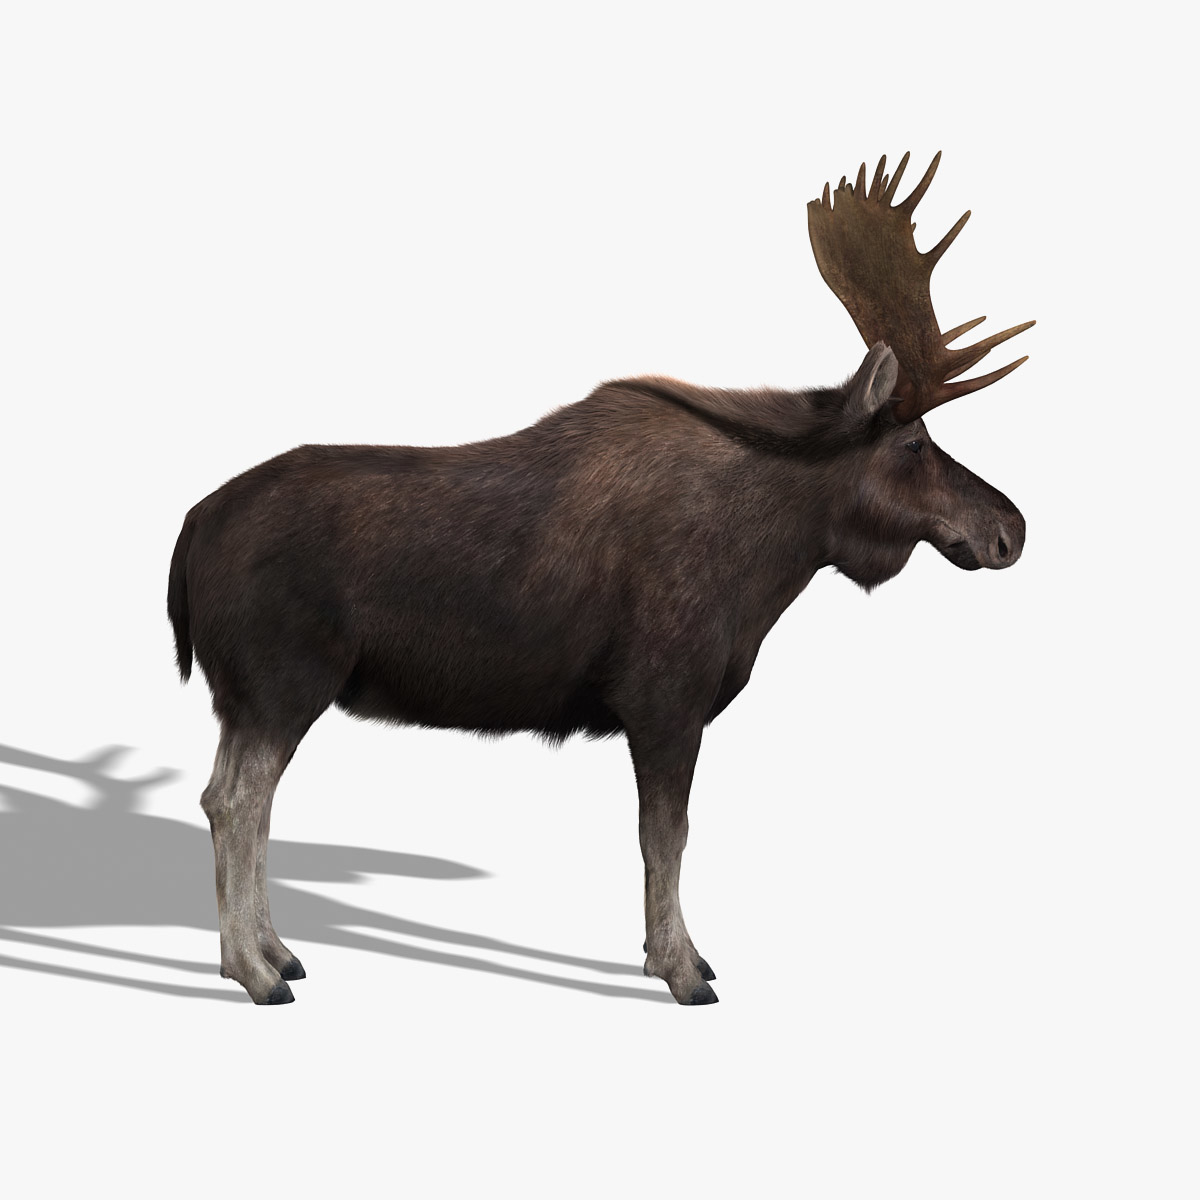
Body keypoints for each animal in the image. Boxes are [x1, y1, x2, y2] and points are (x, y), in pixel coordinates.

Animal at [168, 151, 1034, 1006]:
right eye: (914, 443)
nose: (1011, 530)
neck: (773, 560)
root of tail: (188, 534)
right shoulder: (663, 698)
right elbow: (666, 838)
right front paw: (681, 967)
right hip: (283, 681)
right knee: (238, 801)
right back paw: (253, 971)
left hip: (247, 696)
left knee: (228, 797)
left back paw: (274, 952)